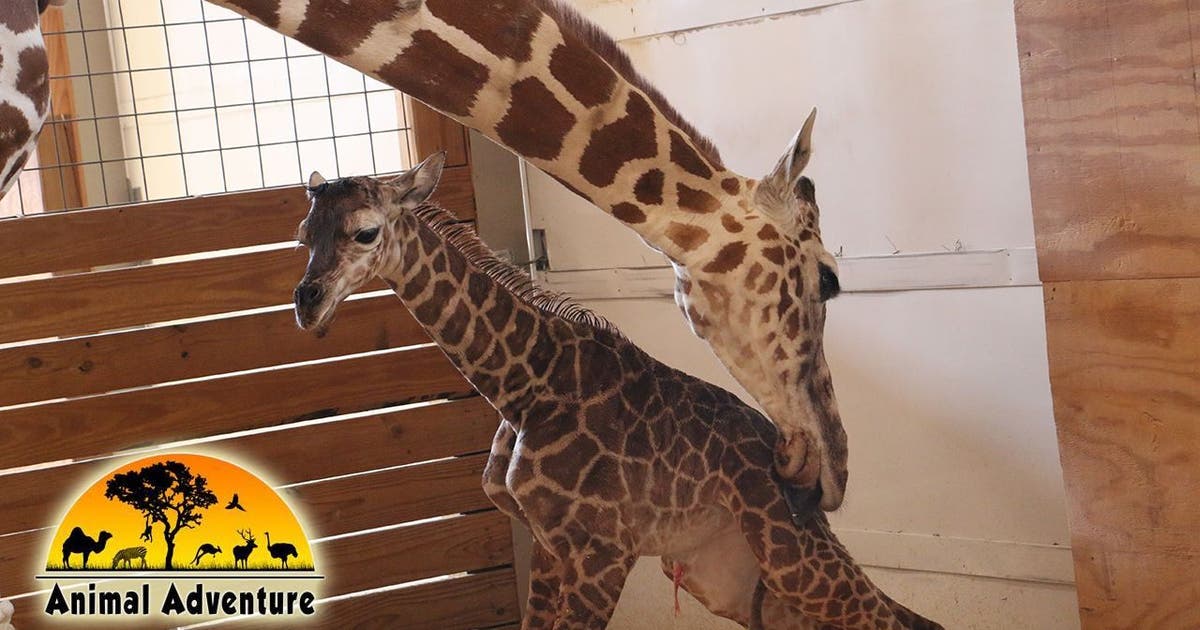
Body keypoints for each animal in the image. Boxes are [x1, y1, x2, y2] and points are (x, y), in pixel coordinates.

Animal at [291, 153, 941, 630]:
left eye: (366, 232)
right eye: (303, 236)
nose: (307, 304)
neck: (523, 391)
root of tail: (810, 492)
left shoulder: (603, 550)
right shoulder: (549, 545)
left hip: (790, 557)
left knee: (895, 619)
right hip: (728, 578)